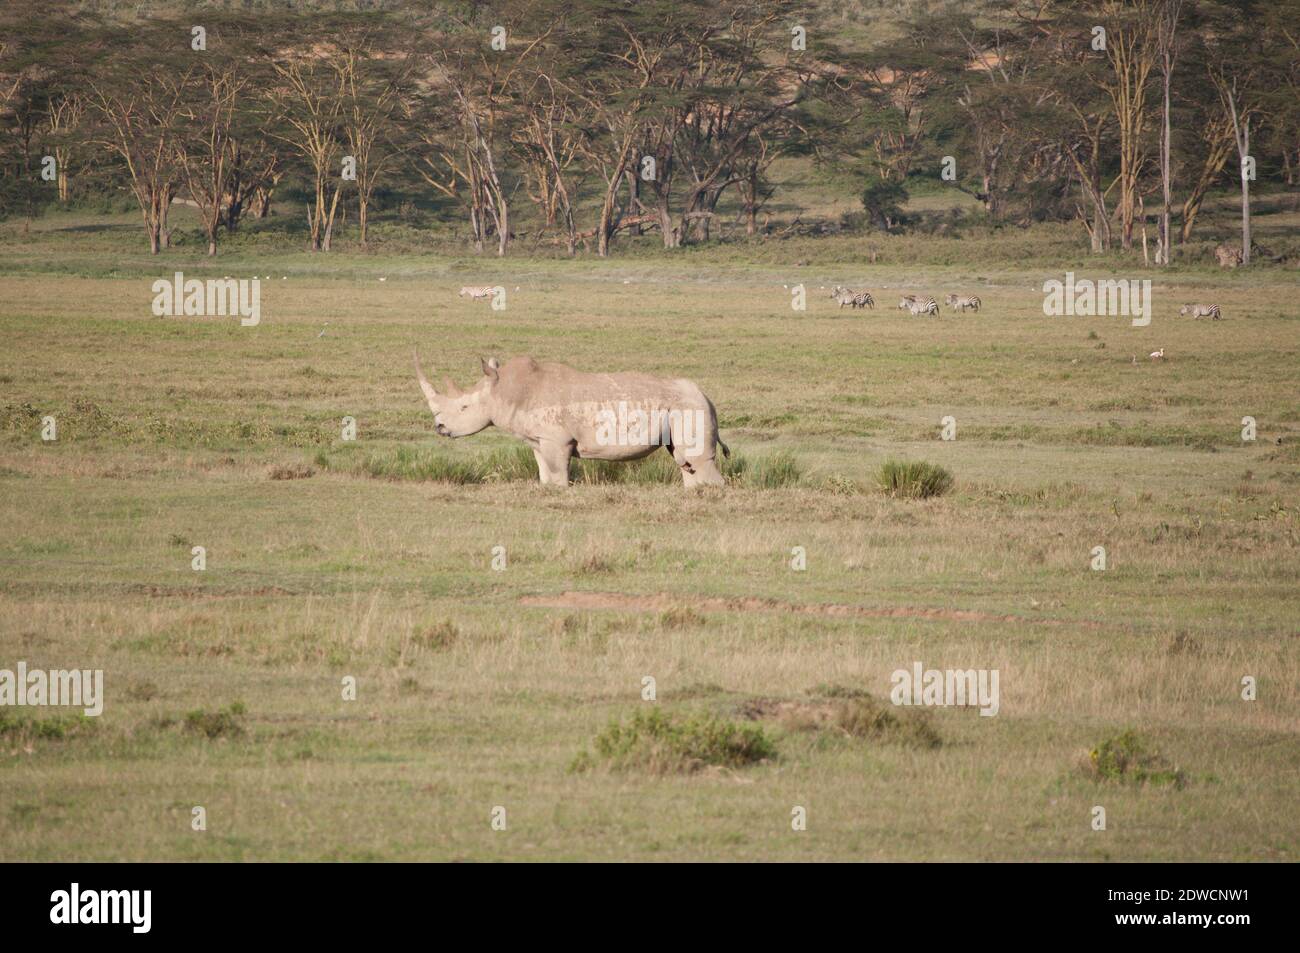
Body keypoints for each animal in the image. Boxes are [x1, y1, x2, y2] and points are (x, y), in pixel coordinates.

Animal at [414, 353, 730, 487]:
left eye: (464, 407)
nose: (439, 428)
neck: (506, 390)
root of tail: (706, 396)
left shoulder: (558, 439)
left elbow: (557, 471)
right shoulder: (540, 439)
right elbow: (545, 473)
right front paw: (549, 490)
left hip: (690, 408)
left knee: (695, 459)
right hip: (682, 408)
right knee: (684, 460)